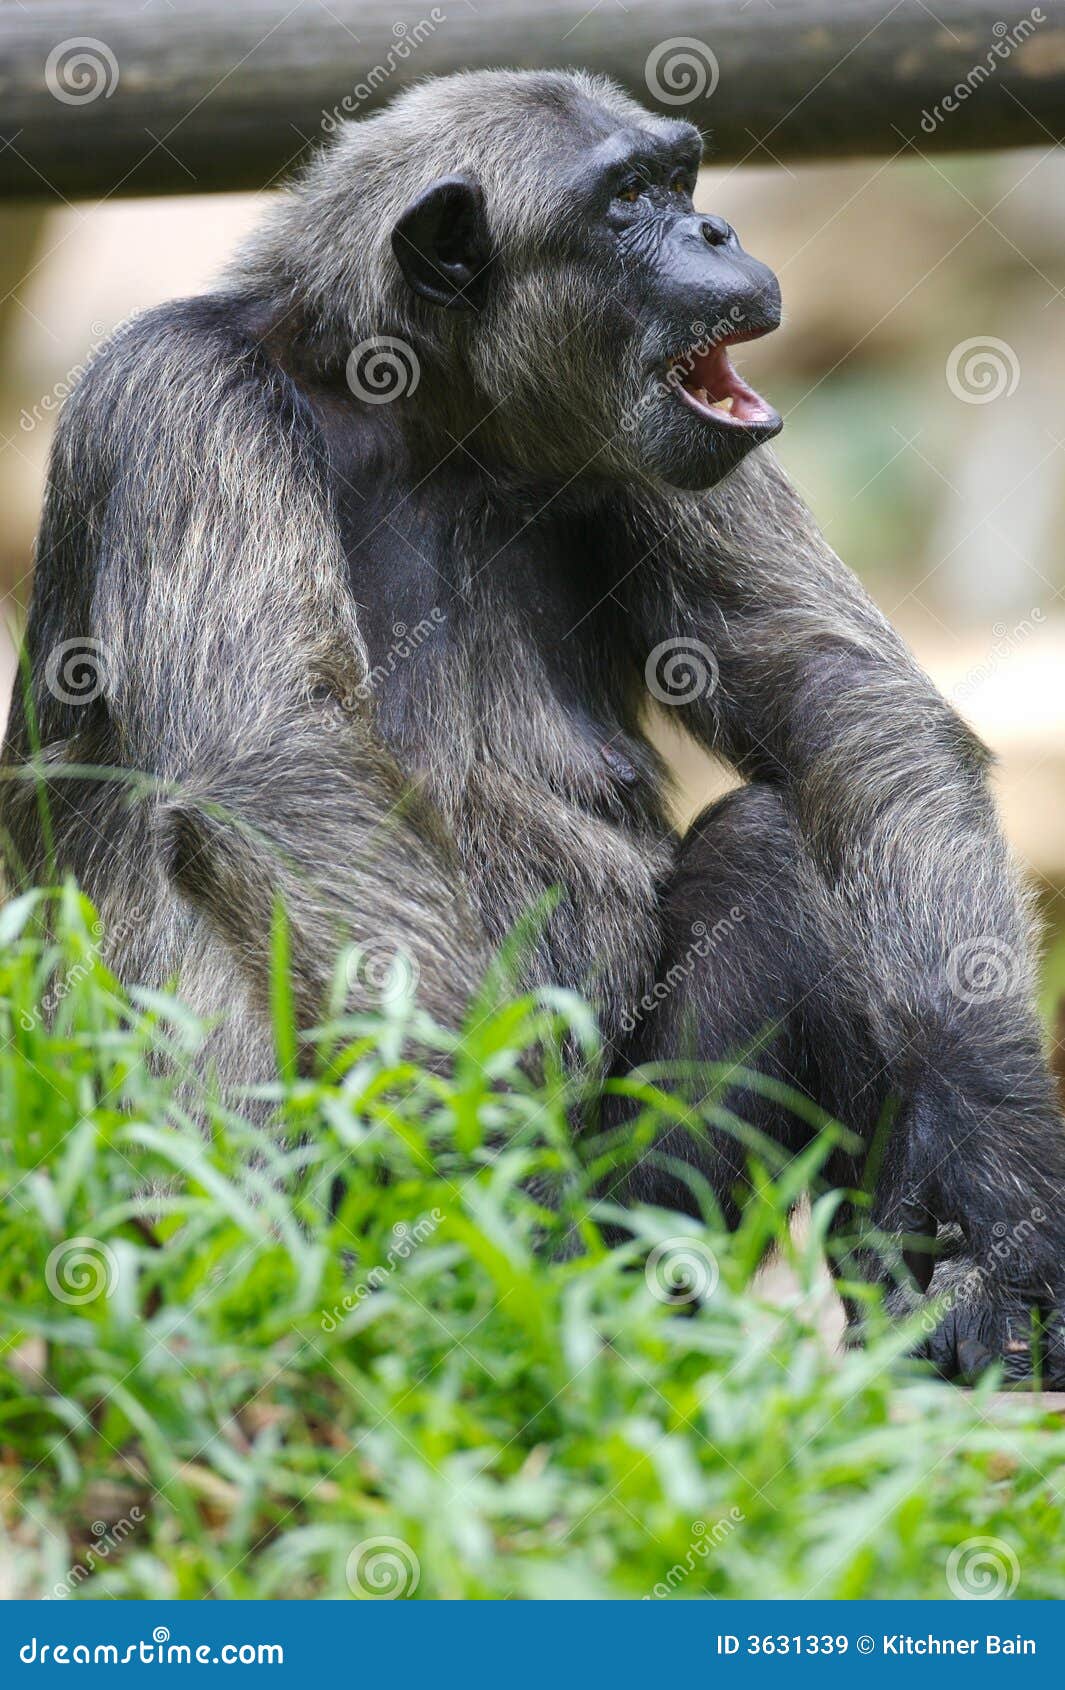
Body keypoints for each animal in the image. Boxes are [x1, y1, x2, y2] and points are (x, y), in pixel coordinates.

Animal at [2, 68, 1063, 1385]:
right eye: (625, 203)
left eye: (679, 177)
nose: (717, 230)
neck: (422, 414)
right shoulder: (177, 404)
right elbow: (283, 763)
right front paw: (452, 1210)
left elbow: (841, 696)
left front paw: (995, 1173)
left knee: (778, 845)